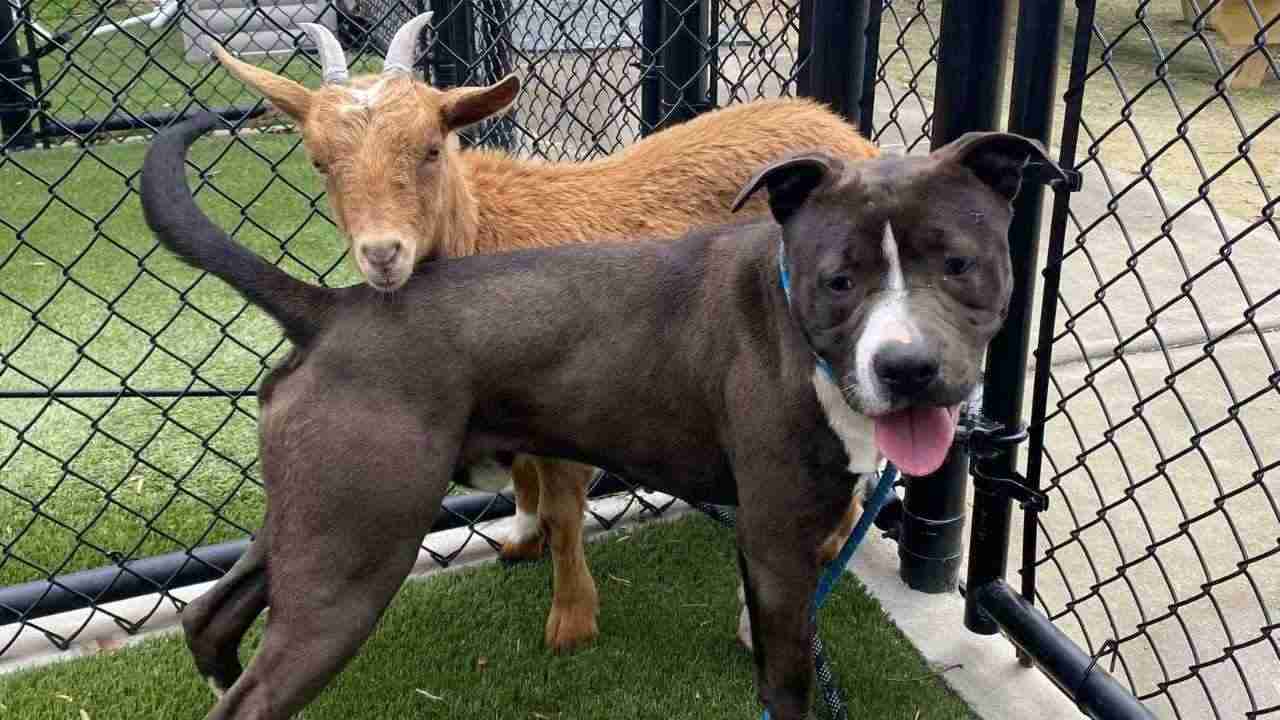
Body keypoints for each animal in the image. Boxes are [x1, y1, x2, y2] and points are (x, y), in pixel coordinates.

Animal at [211, 12, 881, 653]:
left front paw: (571, 621)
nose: (382, 254)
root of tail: (849, 135)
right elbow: (524, 481)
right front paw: (521, 541)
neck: (486, 230)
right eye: (319, 161)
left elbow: (563, 513)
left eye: (431, 149)